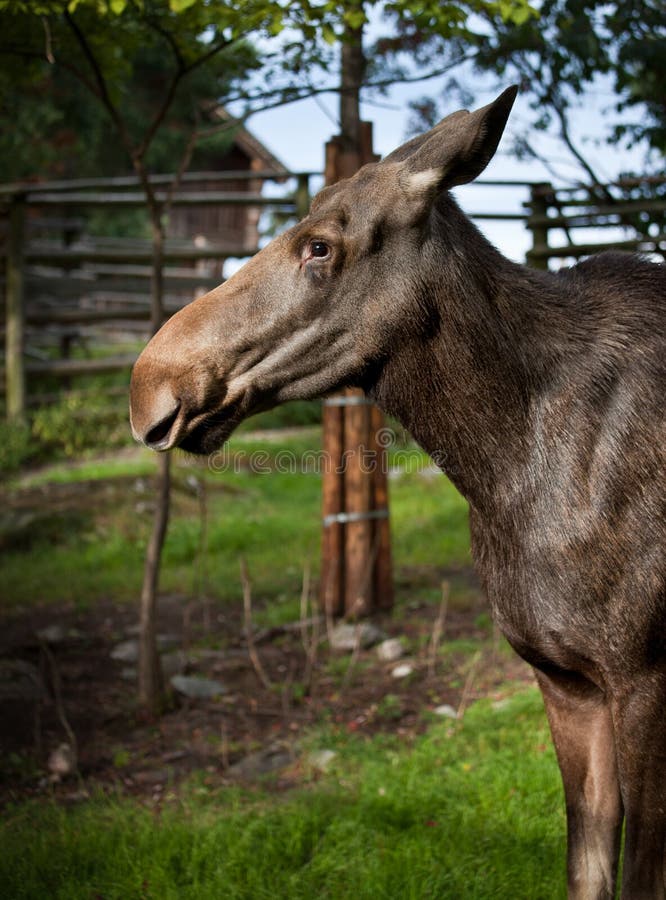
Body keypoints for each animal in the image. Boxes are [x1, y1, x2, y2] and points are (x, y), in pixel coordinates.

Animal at [129, 86, 666, 899]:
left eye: (320, 246)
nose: (147, 382)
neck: (504, 470)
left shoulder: (646, 677)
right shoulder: (566, 681)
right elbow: (586, 871)